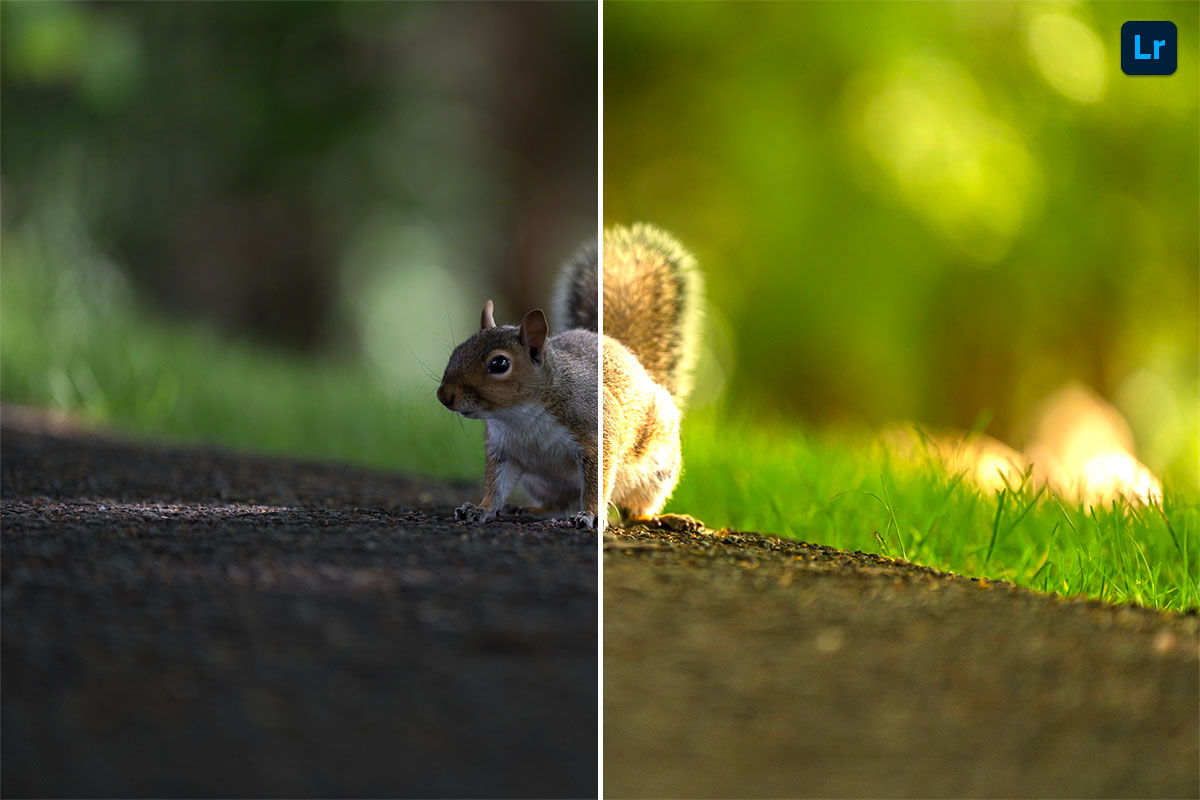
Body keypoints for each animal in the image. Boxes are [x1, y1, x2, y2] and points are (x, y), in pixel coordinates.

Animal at [437, 224, 702, 532]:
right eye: (458, 350)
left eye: (499, 363)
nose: (444, 395)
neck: (522, 416)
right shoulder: (502, 450)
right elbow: (495, 485)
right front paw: (480, 508)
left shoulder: (597, 429)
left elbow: (597, 483)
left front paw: (591, 515)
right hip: (541, 482)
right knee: (560, 503)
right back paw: (531, 509)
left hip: (657, 468)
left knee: (633, 511)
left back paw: (664, 519)